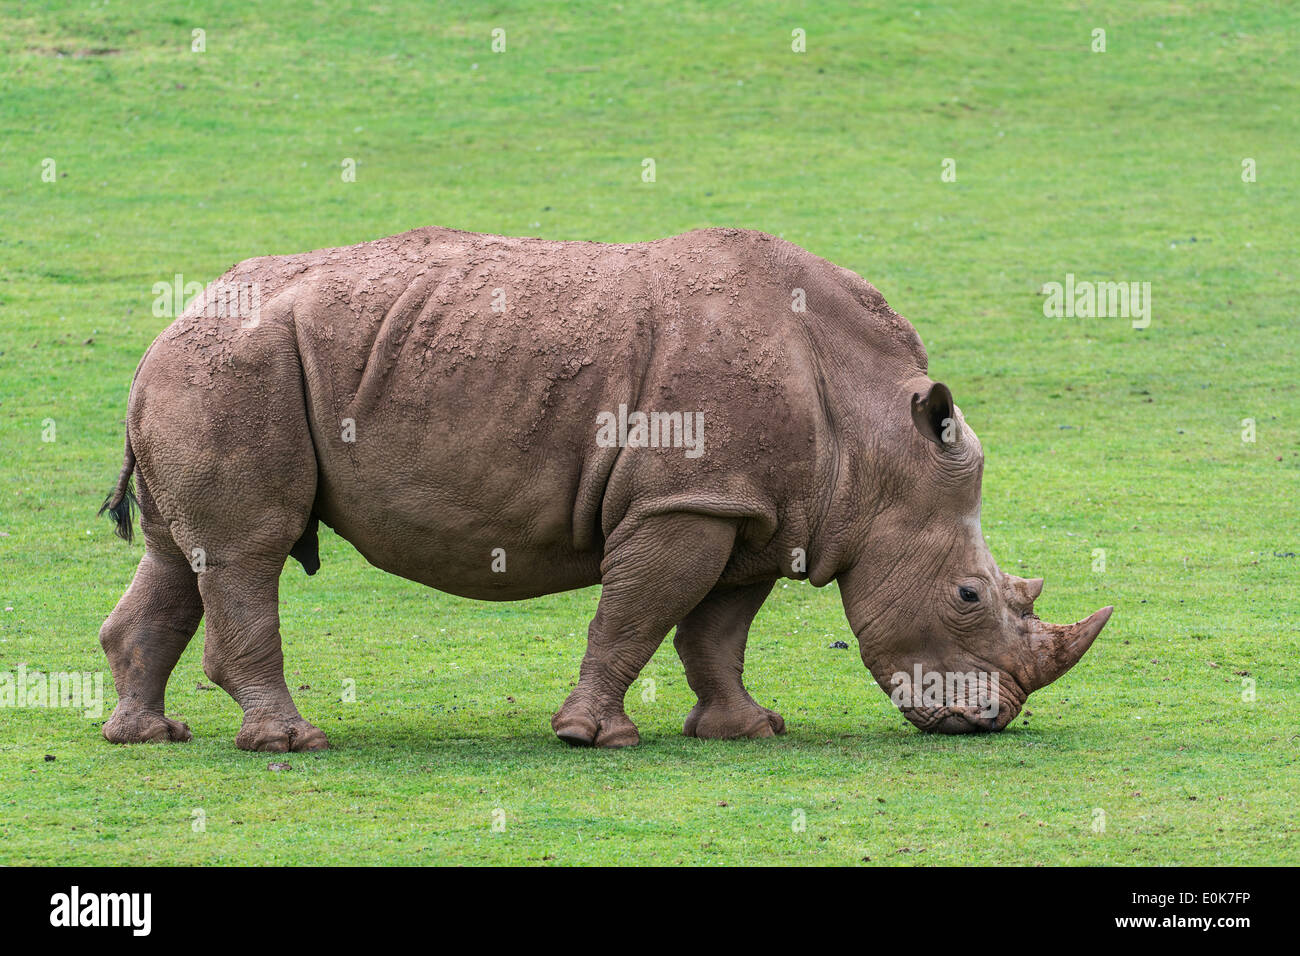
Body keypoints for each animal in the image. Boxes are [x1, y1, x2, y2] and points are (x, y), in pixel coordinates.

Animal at [98, 226, 1111, 751]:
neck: (871, 435)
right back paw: (292, 744)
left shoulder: (750, 506)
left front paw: (748, 730)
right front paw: (596, 738)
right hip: (237, 369)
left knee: (181, 555)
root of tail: (166, 330)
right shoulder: (687, 499)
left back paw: (148, 736)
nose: (990, 722)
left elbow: (715, 632)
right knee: (247, 550)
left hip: (210, 370)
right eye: (970, 596)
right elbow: (637, 614)